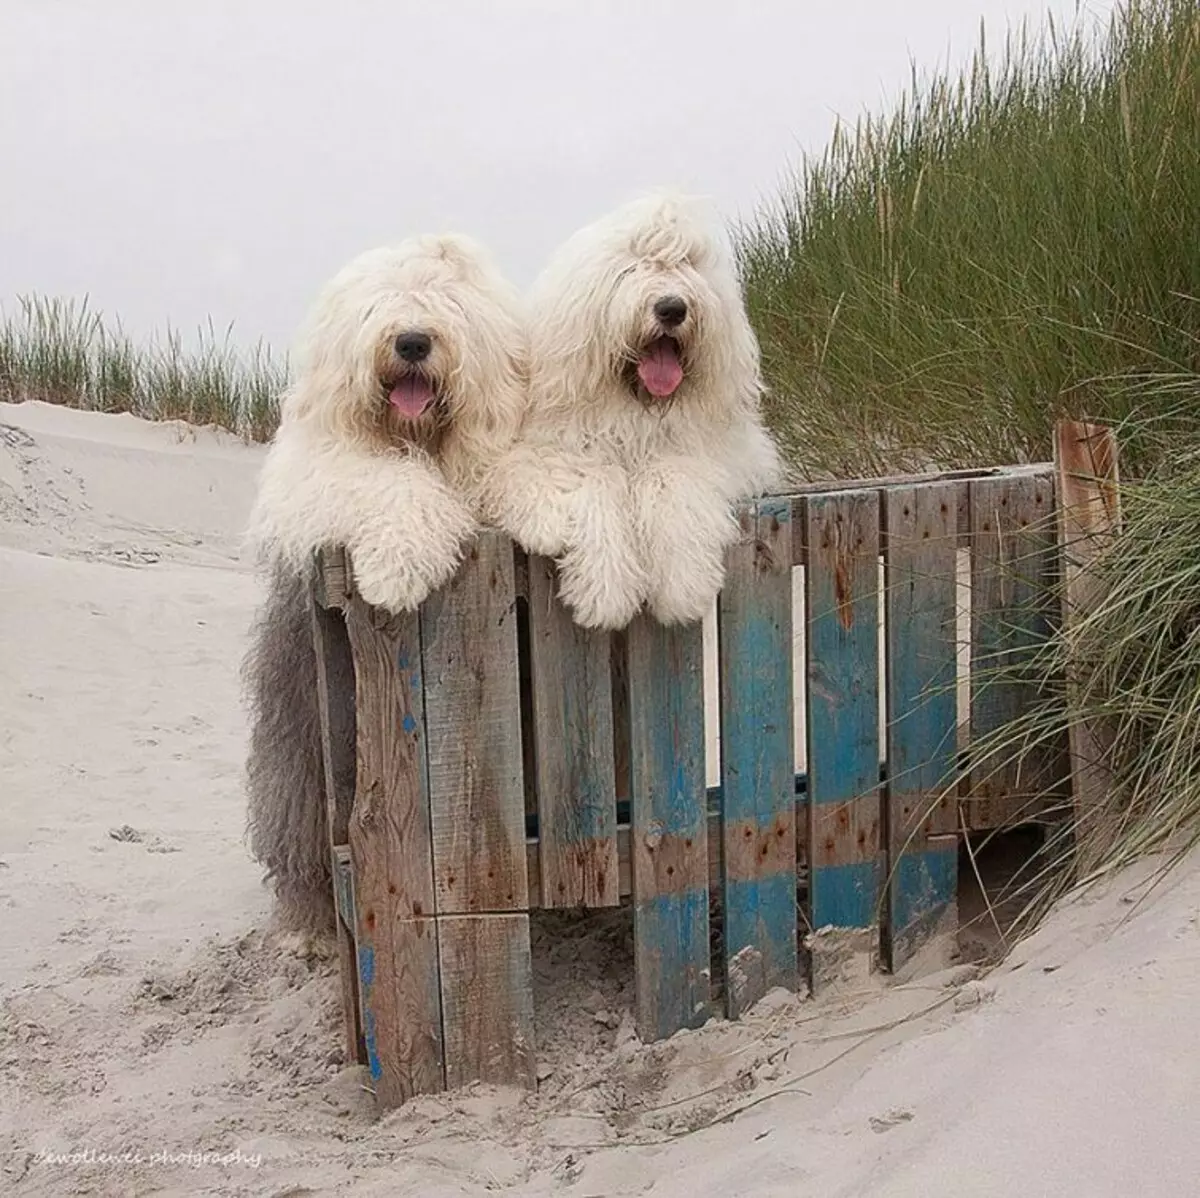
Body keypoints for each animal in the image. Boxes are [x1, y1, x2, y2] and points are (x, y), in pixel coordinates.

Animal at [243, 231, 525, 926]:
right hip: (300, 744)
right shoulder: (322, 476)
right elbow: (380, 478)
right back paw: (310, 924)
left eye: (447, 305)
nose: (413, 341)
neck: (420, 438)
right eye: (376, 309)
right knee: (297, 833)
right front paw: (398, 568)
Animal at [482, 189, 782, 629]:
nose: (672, 307)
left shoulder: (715, 456)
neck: (633, 411)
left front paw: (683, 589)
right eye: (631, 269)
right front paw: (605, 594)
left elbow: (672, 480)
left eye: (687, 265)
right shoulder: (556, 452)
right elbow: (594, 483)